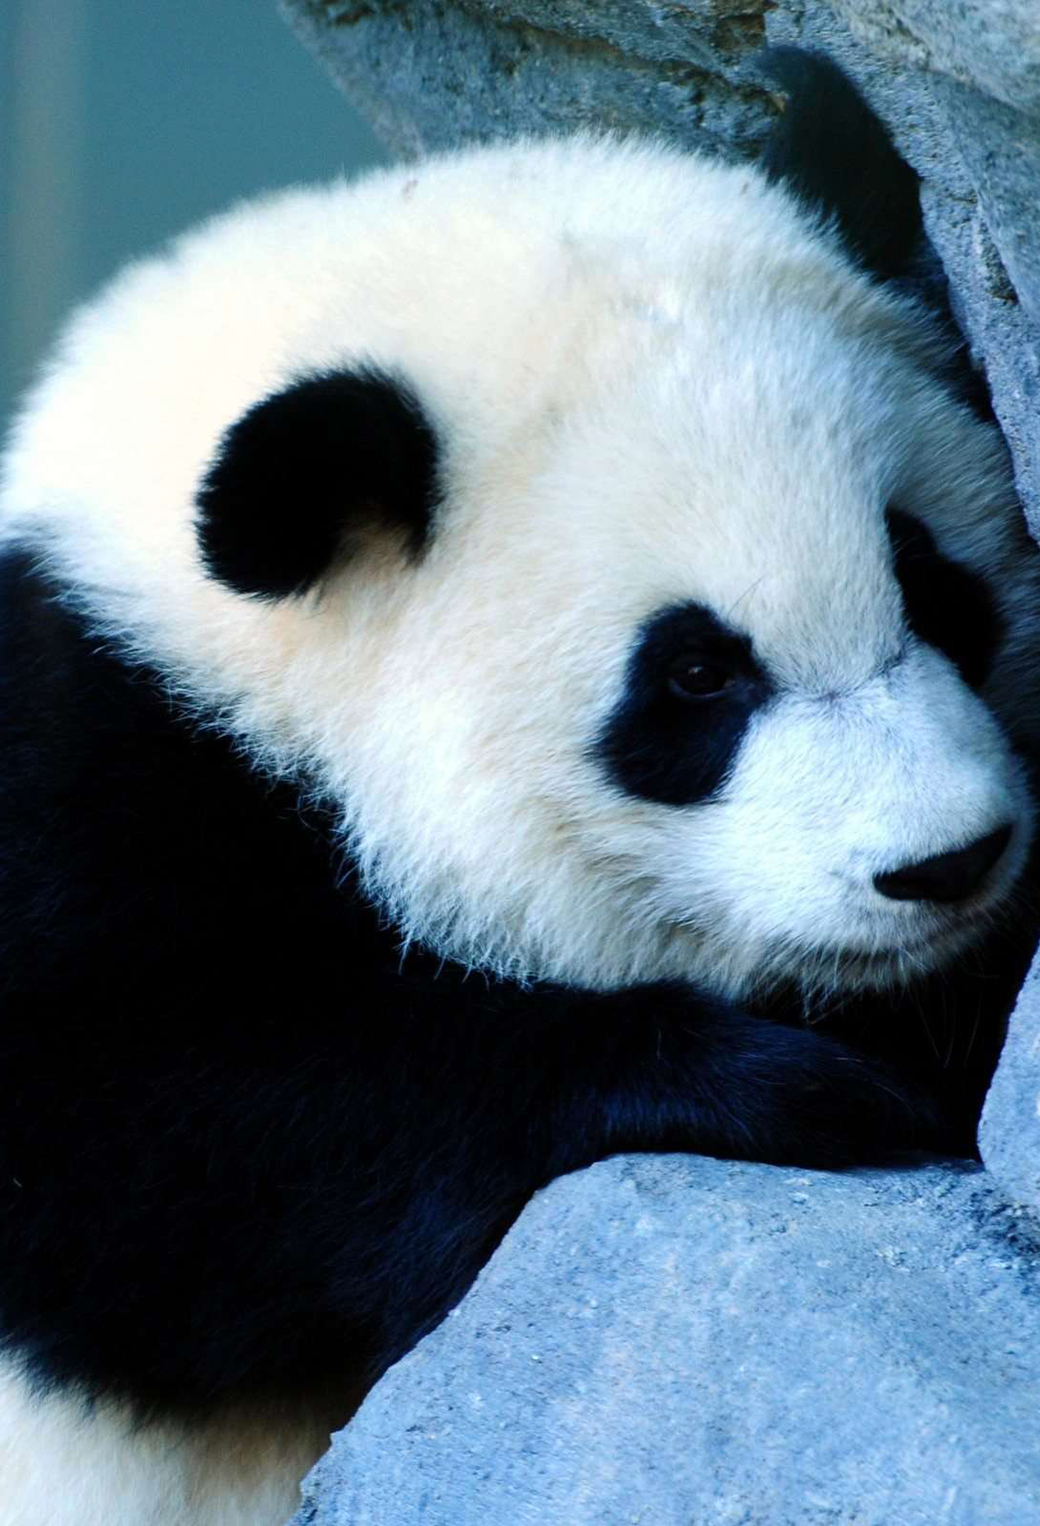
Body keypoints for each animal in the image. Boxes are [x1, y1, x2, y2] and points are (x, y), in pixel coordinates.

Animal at [0, 45, 1038, 1526]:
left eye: (929, 578)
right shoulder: (82, 777)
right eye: (695, 676)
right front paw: (798, 1084)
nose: (945, 861)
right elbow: (142, 1157)